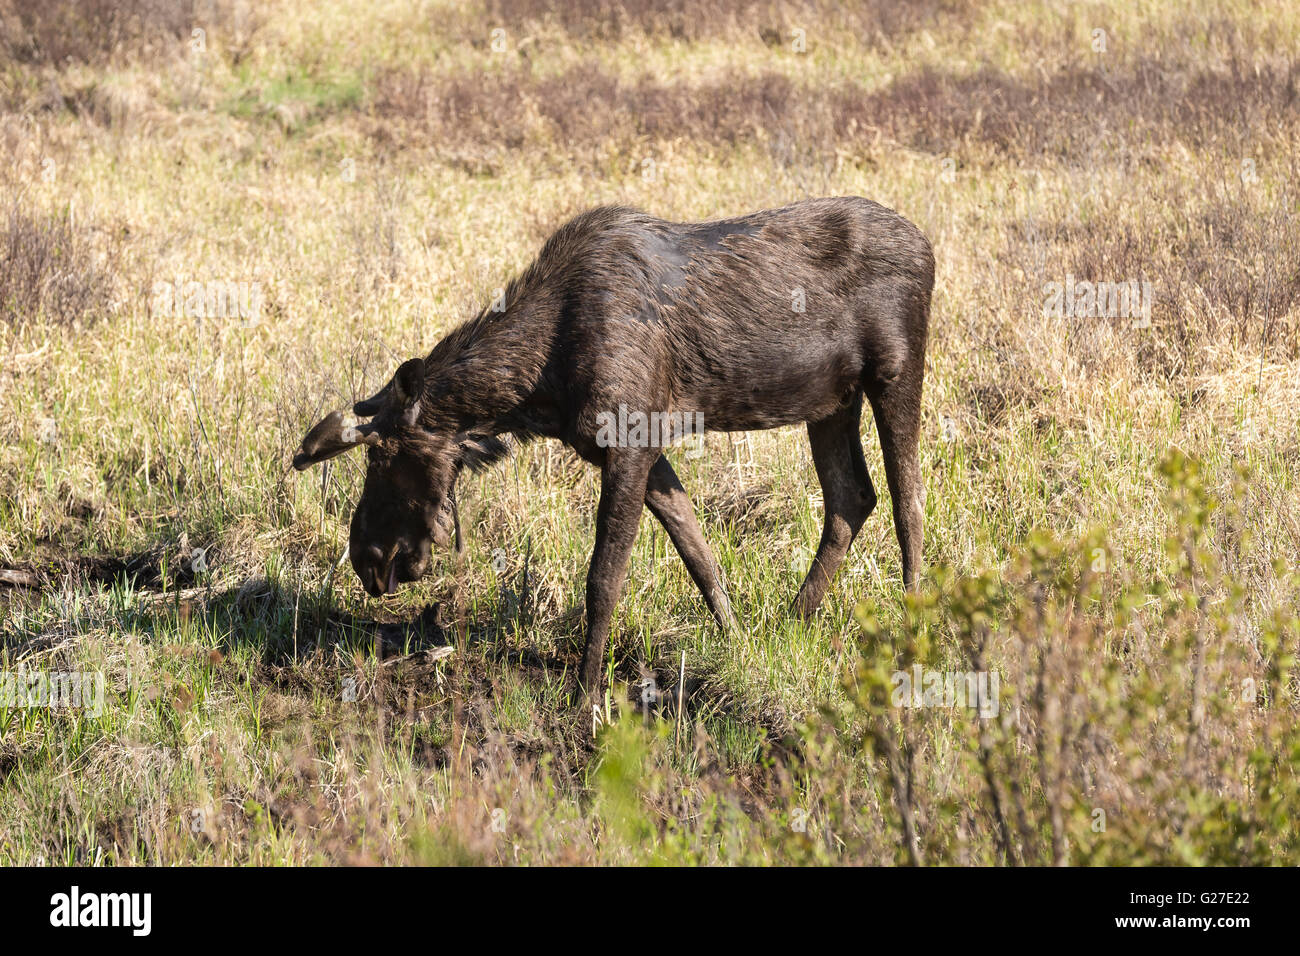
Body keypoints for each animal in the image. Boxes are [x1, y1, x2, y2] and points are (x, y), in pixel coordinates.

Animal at [293, 197, 933, 701]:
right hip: (830, 402)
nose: (367, 558)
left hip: (895, 373)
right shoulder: (639, 448)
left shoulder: (629, 441)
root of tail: (929, 248)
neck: (538, 384)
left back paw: (912, 619)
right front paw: (737, 638)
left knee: (908, 500)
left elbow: (604, 577)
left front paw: (585, 693)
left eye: (382, 457)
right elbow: (697, 550)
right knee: (852, 497)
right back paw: (794, 618)